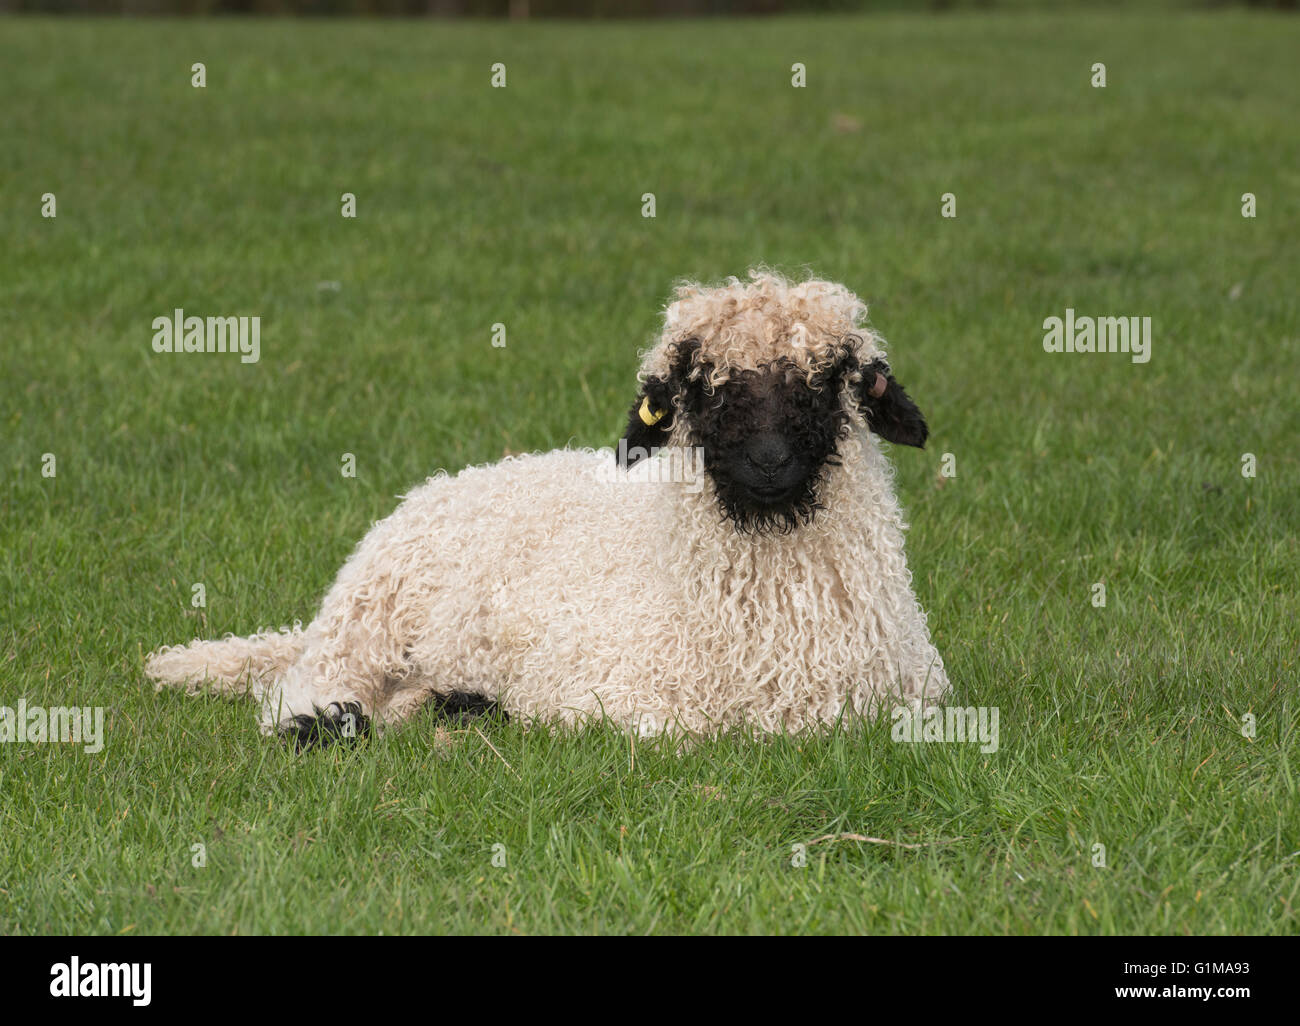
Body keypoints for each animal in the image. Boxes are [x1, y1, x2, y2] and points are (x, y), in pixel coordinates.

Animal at [145, 271, 949, 746]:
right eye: (700, 385)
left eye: (830, 378)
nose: (770, 462)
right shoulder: (623, 697)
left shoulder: (907, 696)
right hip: (368, 620)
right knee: (300, 686)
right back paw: (331, 717)